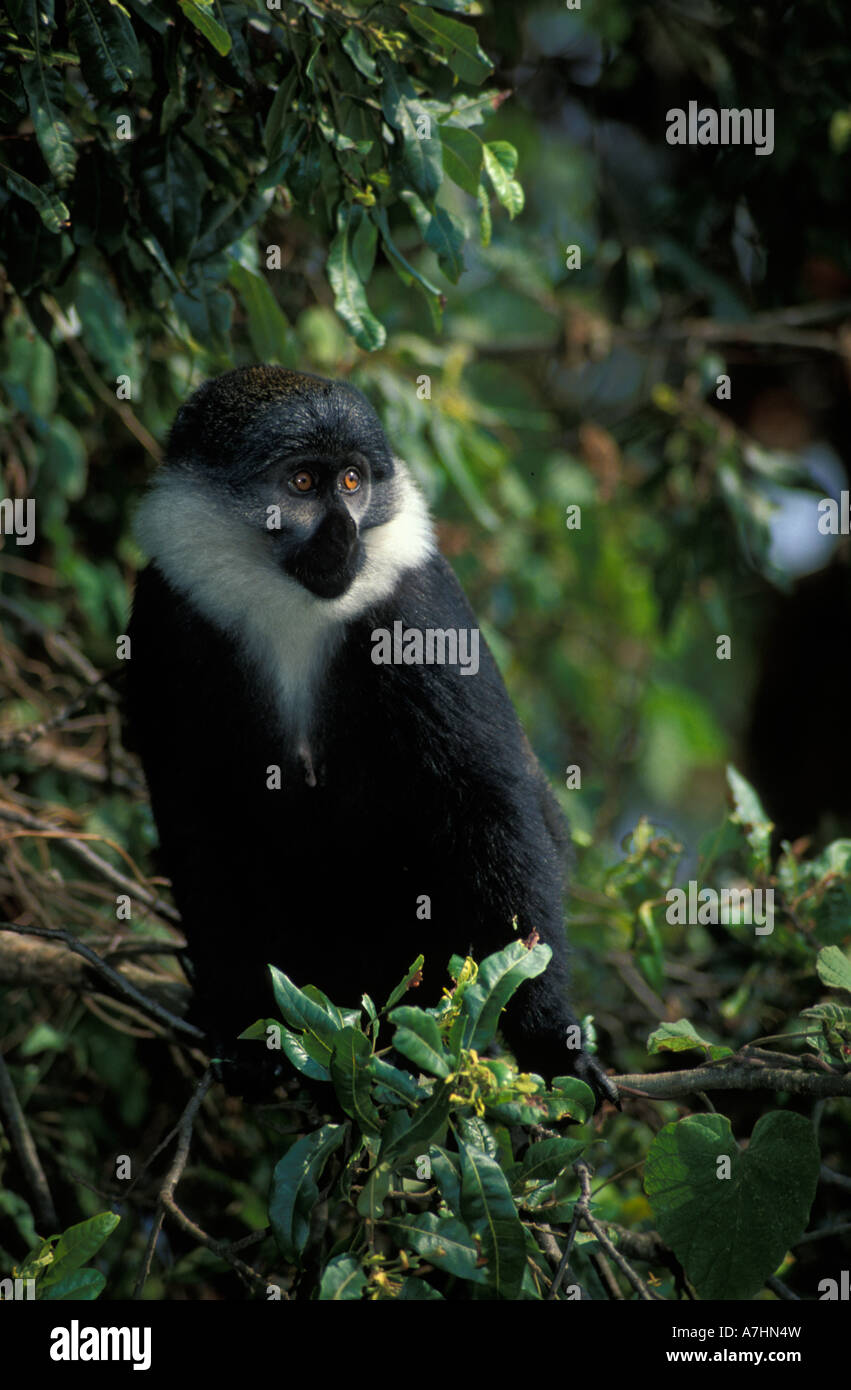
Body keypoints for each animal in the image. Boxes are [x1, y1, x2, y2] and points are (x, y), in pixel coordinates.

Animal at [125, 366, 616, 1108]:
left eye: (353, 482)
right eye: (302, 483)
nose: (345, 537)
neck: (289, 603)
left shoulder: (416, 609)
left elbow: (485, 801)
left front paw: (549, 1039)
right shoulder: (166, 611)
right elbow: (196, 821)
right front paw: (242, 1028)